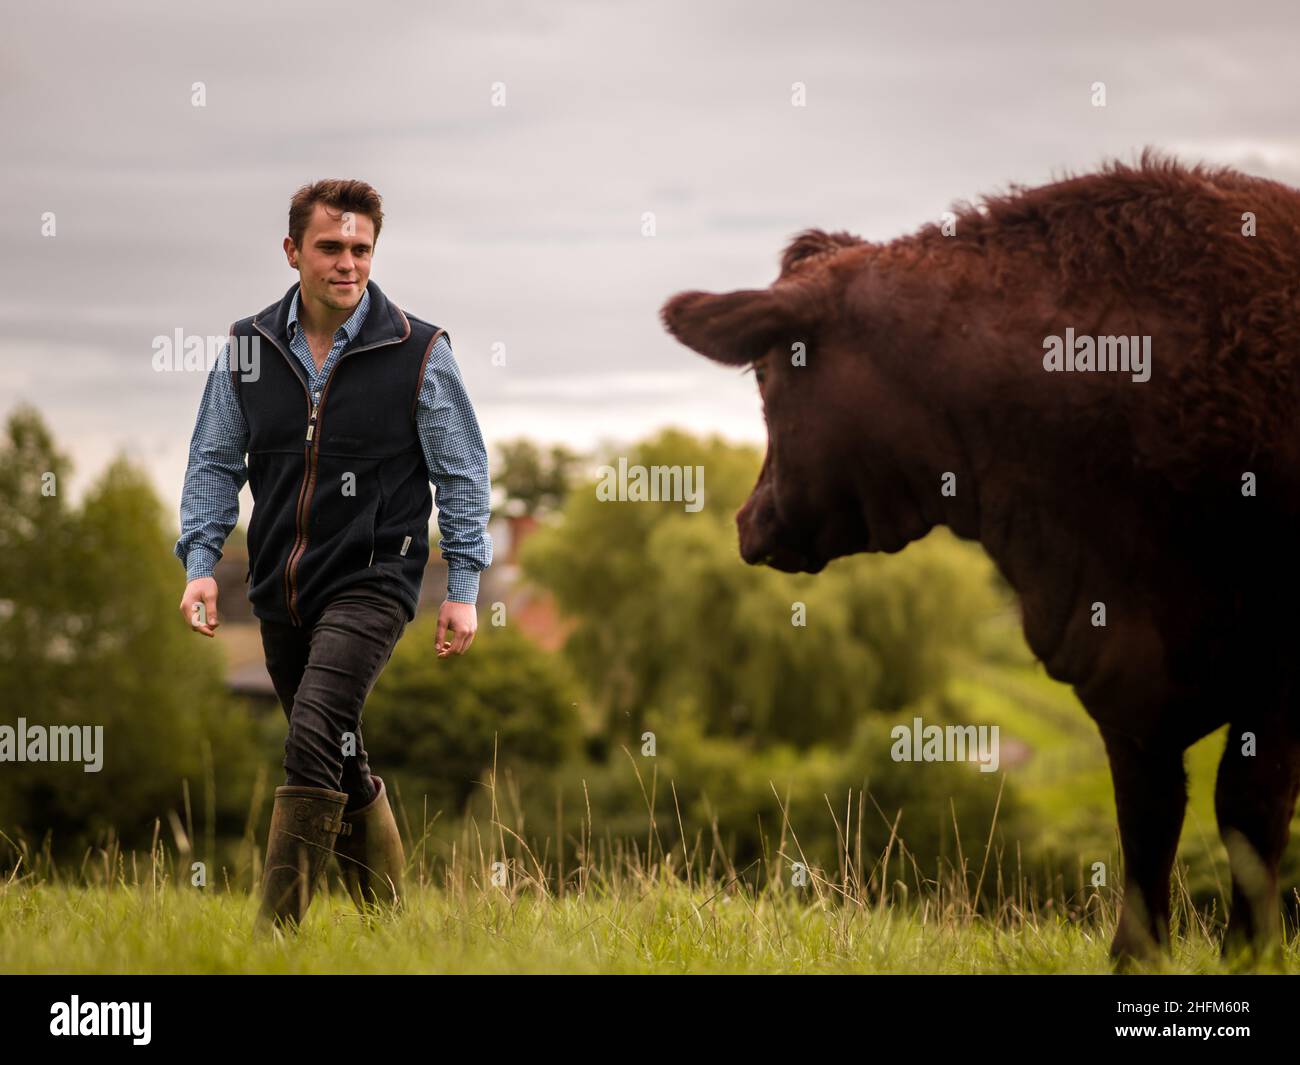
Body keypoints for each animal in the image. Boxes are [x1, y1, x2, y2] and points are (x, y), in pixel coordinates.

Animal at [660, 152, 1300, 969]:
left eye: (768, 376)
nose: (747, 521)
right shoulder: (1124, 679)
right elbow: (1147, 830)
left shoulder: (1276, 680)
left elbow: (1246, 820)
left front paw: (1252, 954)